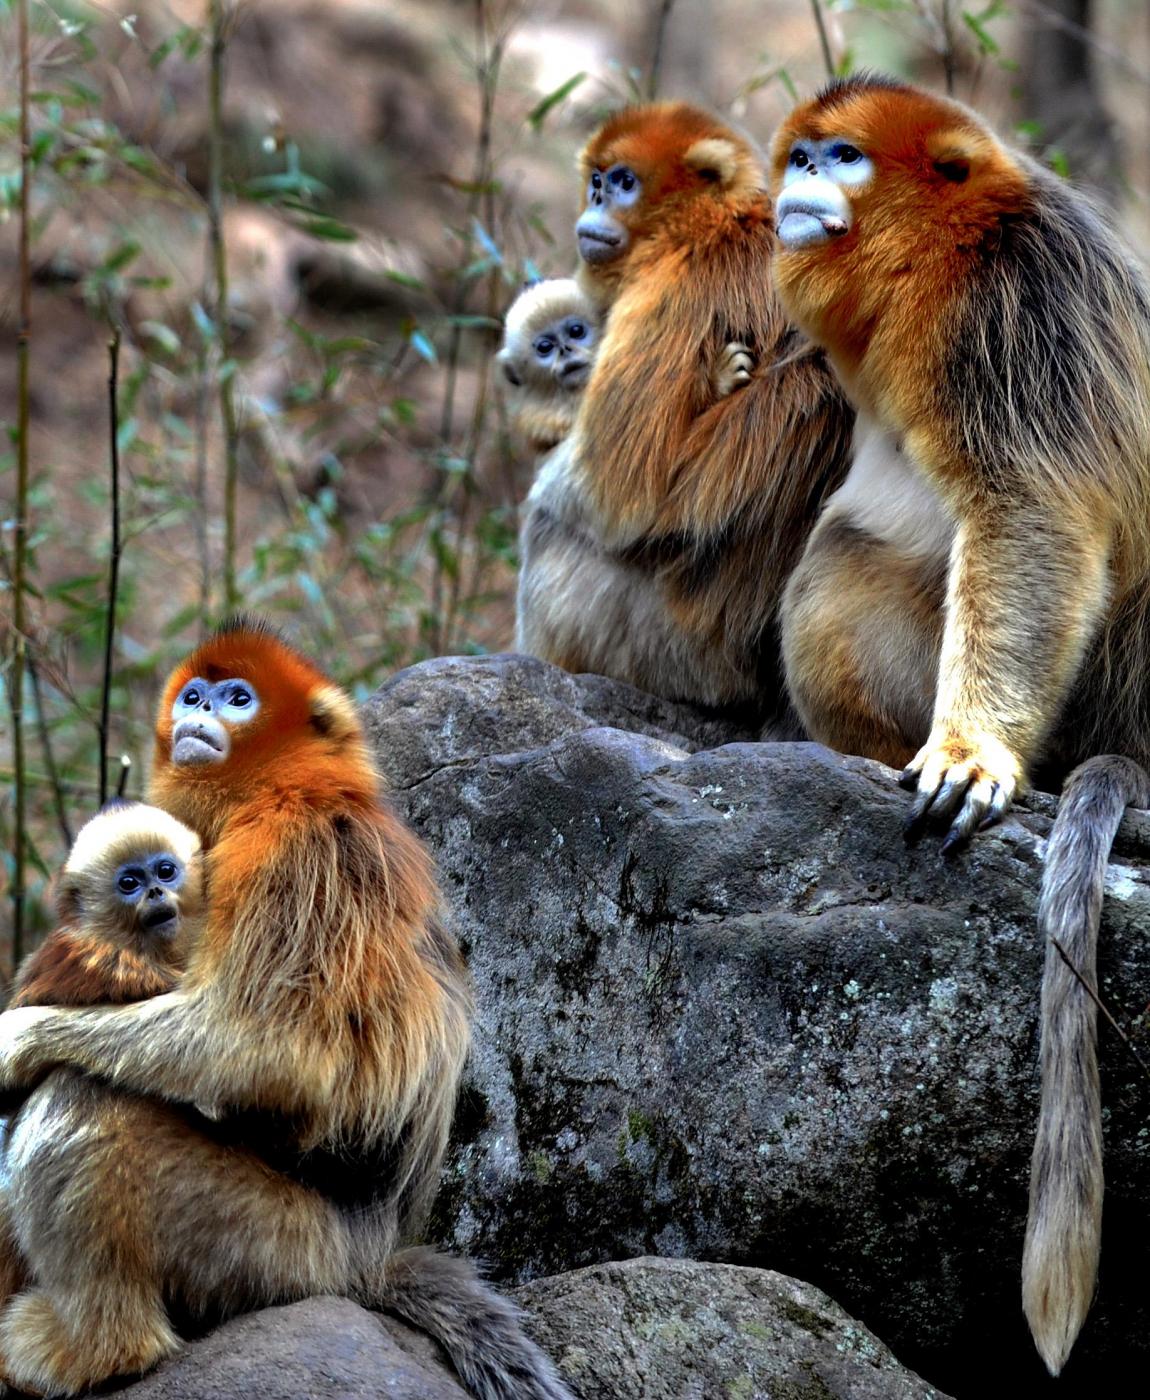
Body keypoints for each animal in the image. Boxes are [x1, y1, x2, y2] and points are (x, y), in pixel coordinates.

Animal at [0, 619, 571, 1400]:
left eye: (238, 699)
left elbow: (278, 1054)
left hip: (282, 1250)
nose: (199, 713)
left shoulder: (289, 852)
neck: (280, 787)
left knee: (84, 1099)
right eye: (194, 694)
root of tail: (369, 1256)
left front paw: (20, 1035)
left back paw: (98, 1350)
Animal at [514, 102, 853, 724]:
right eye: (596, 180)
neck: (713, 220)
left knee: (553, 528)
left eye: (623, 182)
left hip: (659, 650)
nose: (595, 200)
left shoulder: (670, 285)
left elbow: (614, 494)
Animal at [766, 75, 1150, 1372]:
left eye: (839, 158)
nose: (796, 184)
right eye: (800, 156)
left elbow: (1033, 513)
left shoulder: (1016, 307)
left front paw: (976, 755)